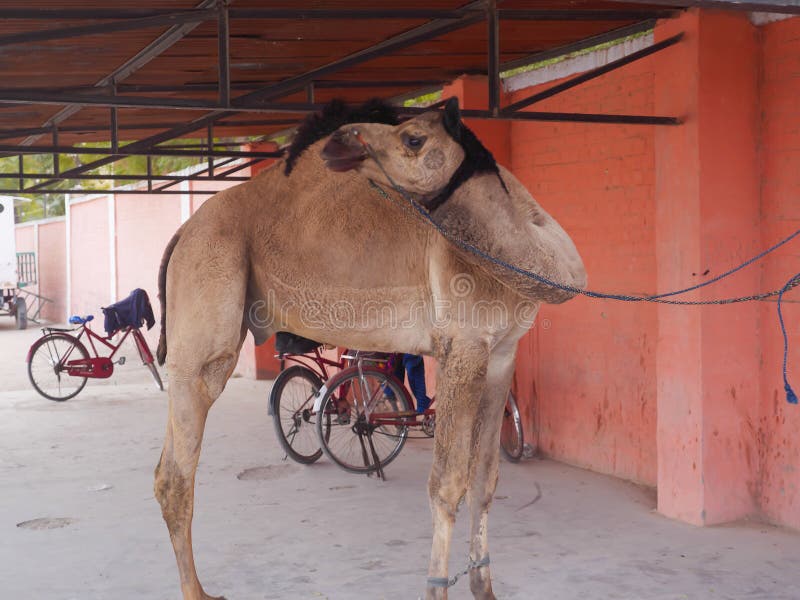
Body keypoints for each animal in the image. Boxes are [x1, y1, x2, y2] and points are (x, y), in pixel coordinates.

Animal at [154, 97, 586, 600]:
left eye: (413, 138)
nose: (342, 140)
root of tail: (183, 233)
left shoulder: (501, 353)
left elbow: (485, 477)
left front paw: (485, 588)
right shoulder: (462, 344)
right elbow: (447, 483)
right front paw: (436, 589)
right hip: (208, 292)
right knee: (178, 466)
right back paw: (198, 591)